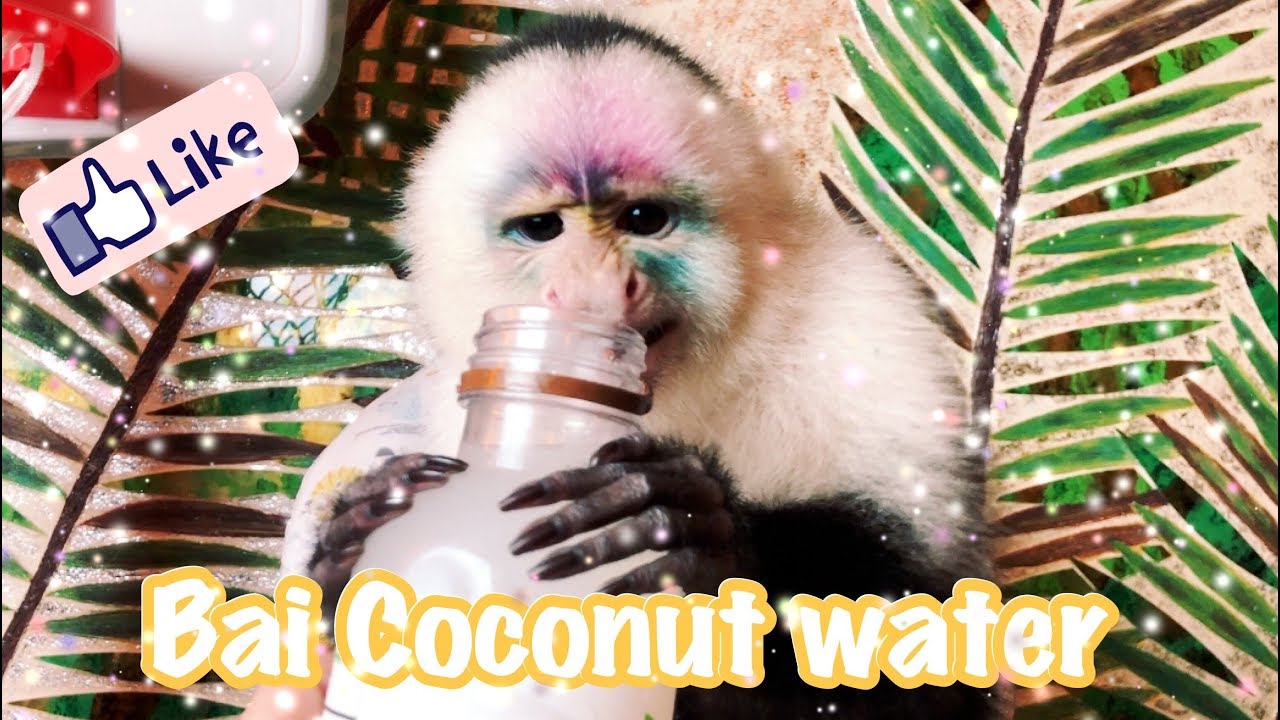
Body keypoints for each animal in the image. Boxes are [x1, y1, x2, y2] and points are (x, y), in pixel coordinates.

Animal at [270, 12, 998, 720]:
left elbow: (938, 673)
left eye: (644, 218)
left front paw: (686, 537)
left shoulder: (869, 327)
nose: (598, 288)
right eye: (542, 229)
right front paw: (347, 546)